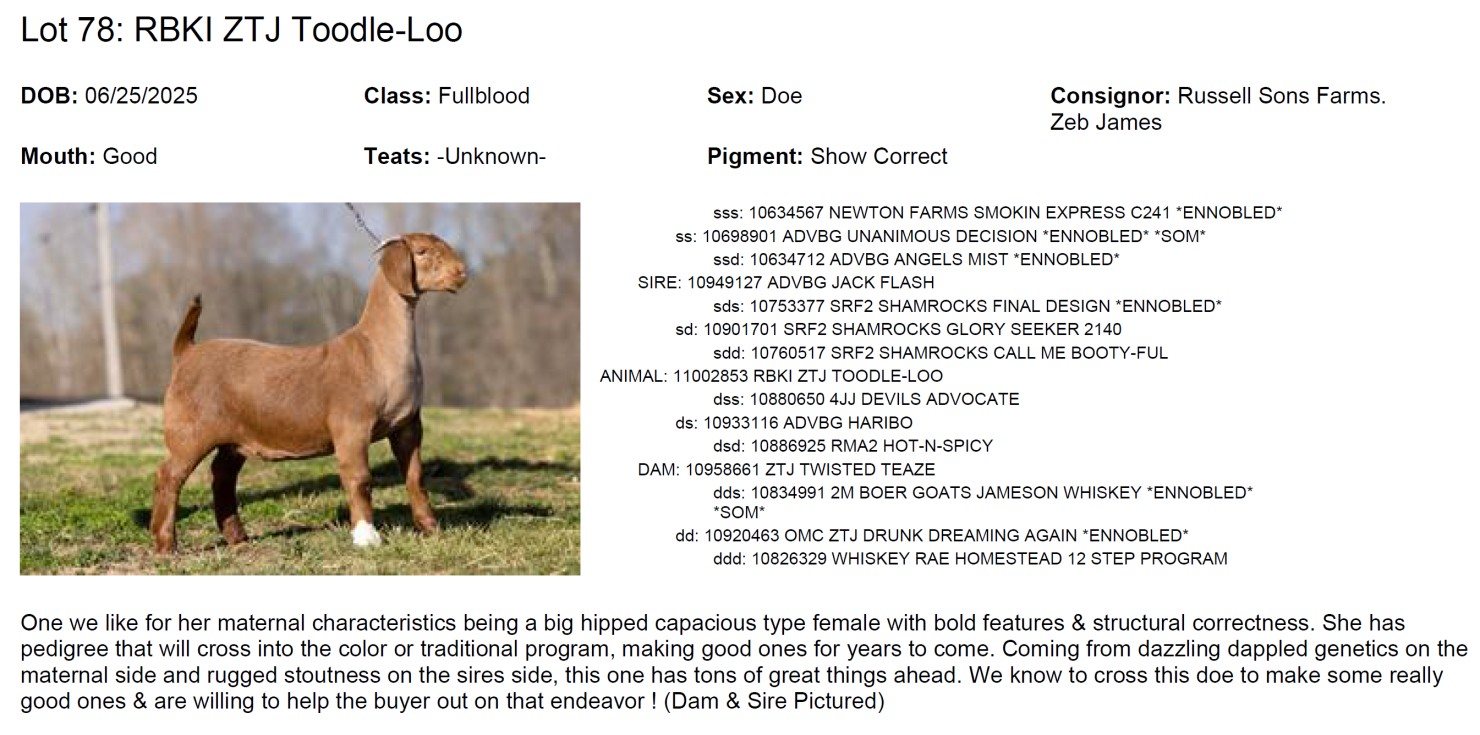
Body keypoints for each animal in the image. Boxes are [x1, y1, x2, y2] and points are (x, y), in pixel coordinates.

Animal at [149, 233, 469, 553]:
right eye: (422, 251)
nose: (462, 272)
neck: (377, 349)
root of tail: (187, 352)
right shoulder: (352, 427)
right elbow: (359, 479)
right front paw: (366, 537)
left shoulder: (408, 425)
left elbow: (415, 477)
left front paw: (430, 528)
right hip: (190, 431)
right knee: (169, 476)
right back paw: (166, 544)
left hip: (235, 437)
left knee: (223, 477)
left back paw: (237, 538)